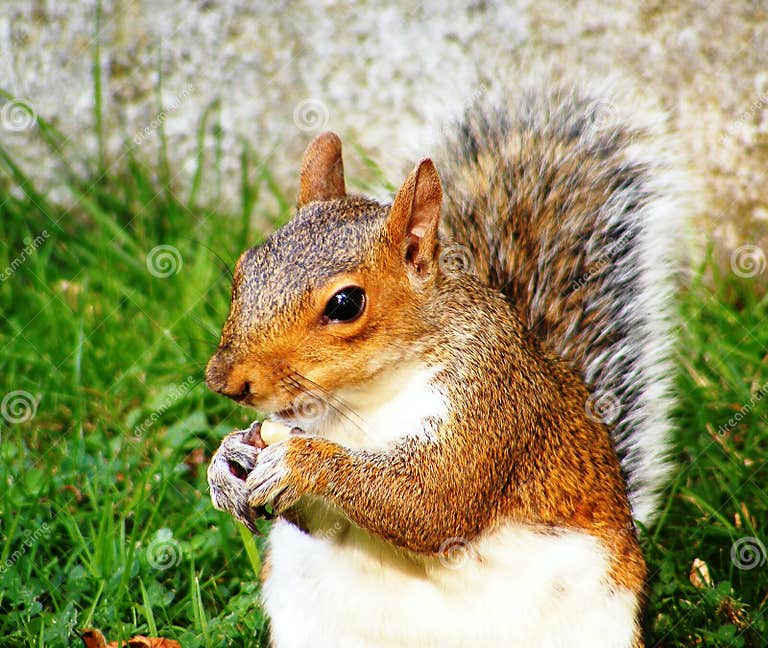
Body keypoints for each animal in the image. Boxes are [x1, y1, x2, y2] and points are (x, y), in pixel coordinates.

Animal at [205, 87, 680, 647]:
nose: (223, 380)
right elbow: (325, 520)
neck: (362, 402)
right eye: (244, 267)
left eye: (346, 303)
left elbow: (435, 500)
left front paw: (302, 462)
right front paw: (226, 459)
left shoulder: (490, 401)